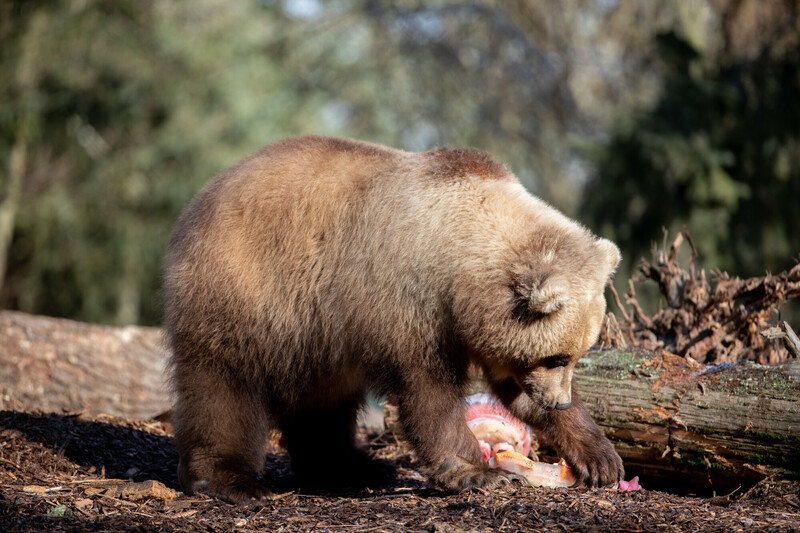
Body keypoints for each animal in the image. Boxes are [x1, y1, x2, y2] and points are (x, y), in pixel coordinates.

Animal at [163, 135, 624, 502]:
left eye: (578, 354)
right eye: (556, 357)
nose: (558, 399)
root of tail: (210, 188)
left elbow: (514, 389)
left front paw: (600, 457)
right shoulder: (406, 300)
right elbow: (429, 393)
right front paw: (479, 473)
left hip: (314, 329)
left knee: (322, 400)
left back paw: (351, 466)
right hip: (247, 289)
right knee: (223, 386)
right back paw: (231, 480)